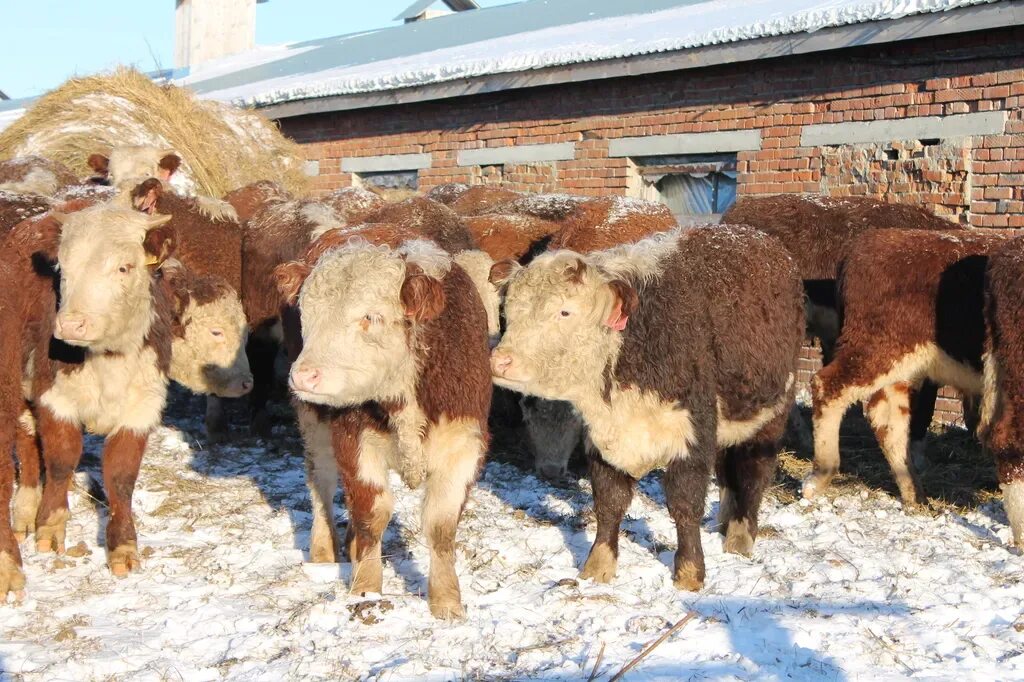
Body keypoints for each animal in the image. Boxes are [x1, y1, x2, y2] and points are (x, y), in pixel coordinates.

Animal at [276, 237, 491, 614]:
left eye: (370, 316)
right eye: (306, 313)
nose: (304, 376)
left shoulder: (465, 444)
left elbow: (441, 525)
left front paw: (447, 603)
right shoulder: (354, 442)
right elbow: (372, 515)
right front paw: (366, 589)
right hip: (314, 422)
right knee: (321, 483)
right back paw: (323, 552)